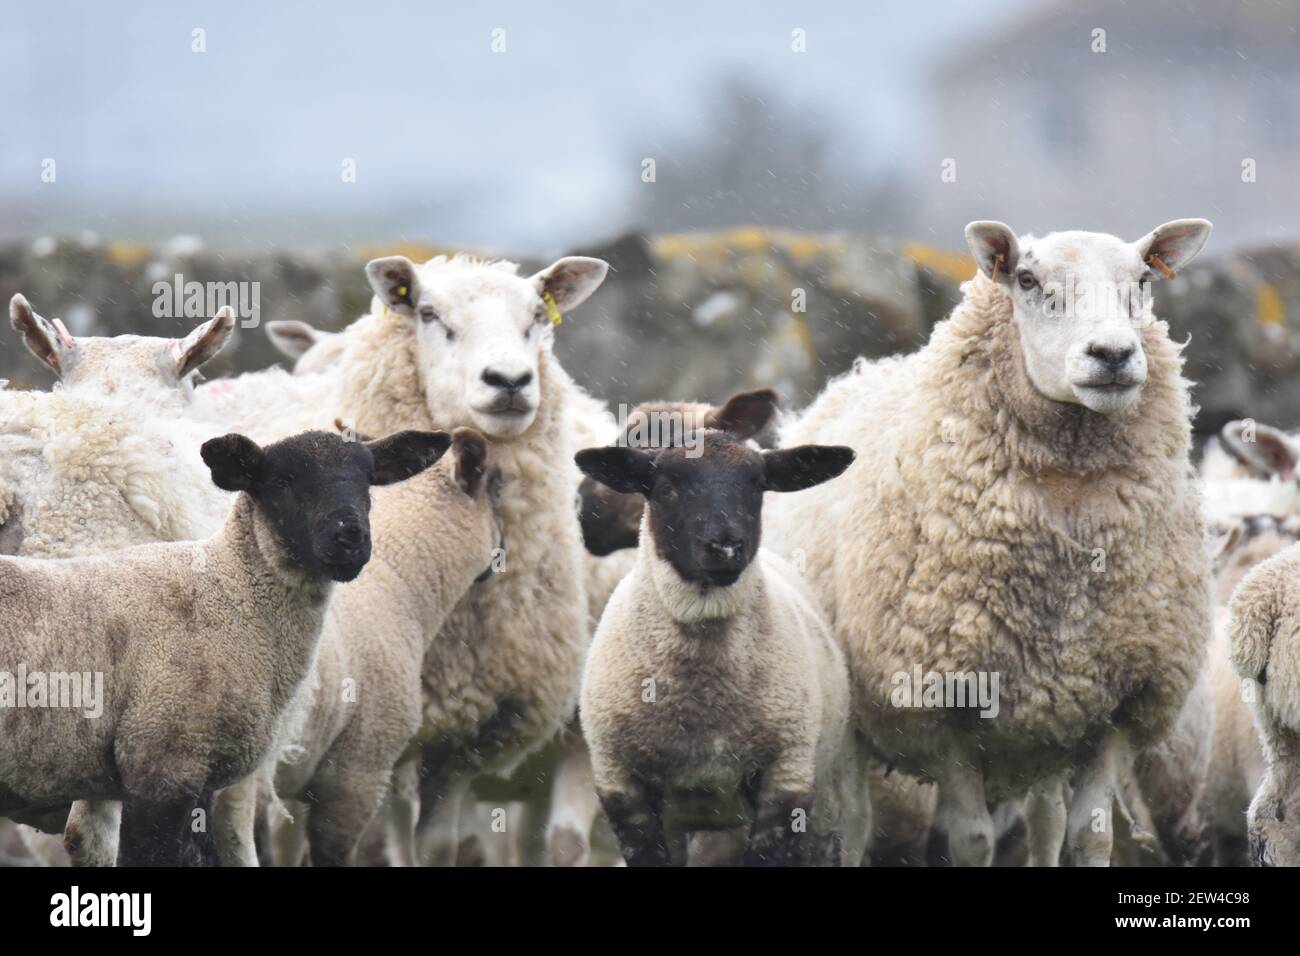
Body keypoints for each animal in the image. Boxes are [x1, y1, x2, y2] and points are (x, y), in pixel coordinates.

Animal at [0, 427, 450, 864]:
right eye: (282, 481)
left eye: (368, 480)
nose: (351, 537)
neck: (230, 590)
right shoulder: (163, 761)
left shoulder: (202, 776)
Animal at [575, 430, 866, 865]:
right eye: (666, 487)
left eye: (757, 486)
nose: (726, 548)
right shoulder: (621, 784)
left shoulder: (787, 779)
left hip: (828, 803)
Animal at [766, 219, 1215, 866]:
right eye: (1026, 279)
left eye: (1143, 280)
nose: (1112, 355)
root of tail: (855, 375)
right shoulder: (944, 708)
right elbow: (972, 839)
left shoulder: (1117, 704)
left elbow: (1092, 834)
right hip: (848, 712)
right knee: (851, 822)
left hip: (1048, 721)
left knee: (1046, 819)